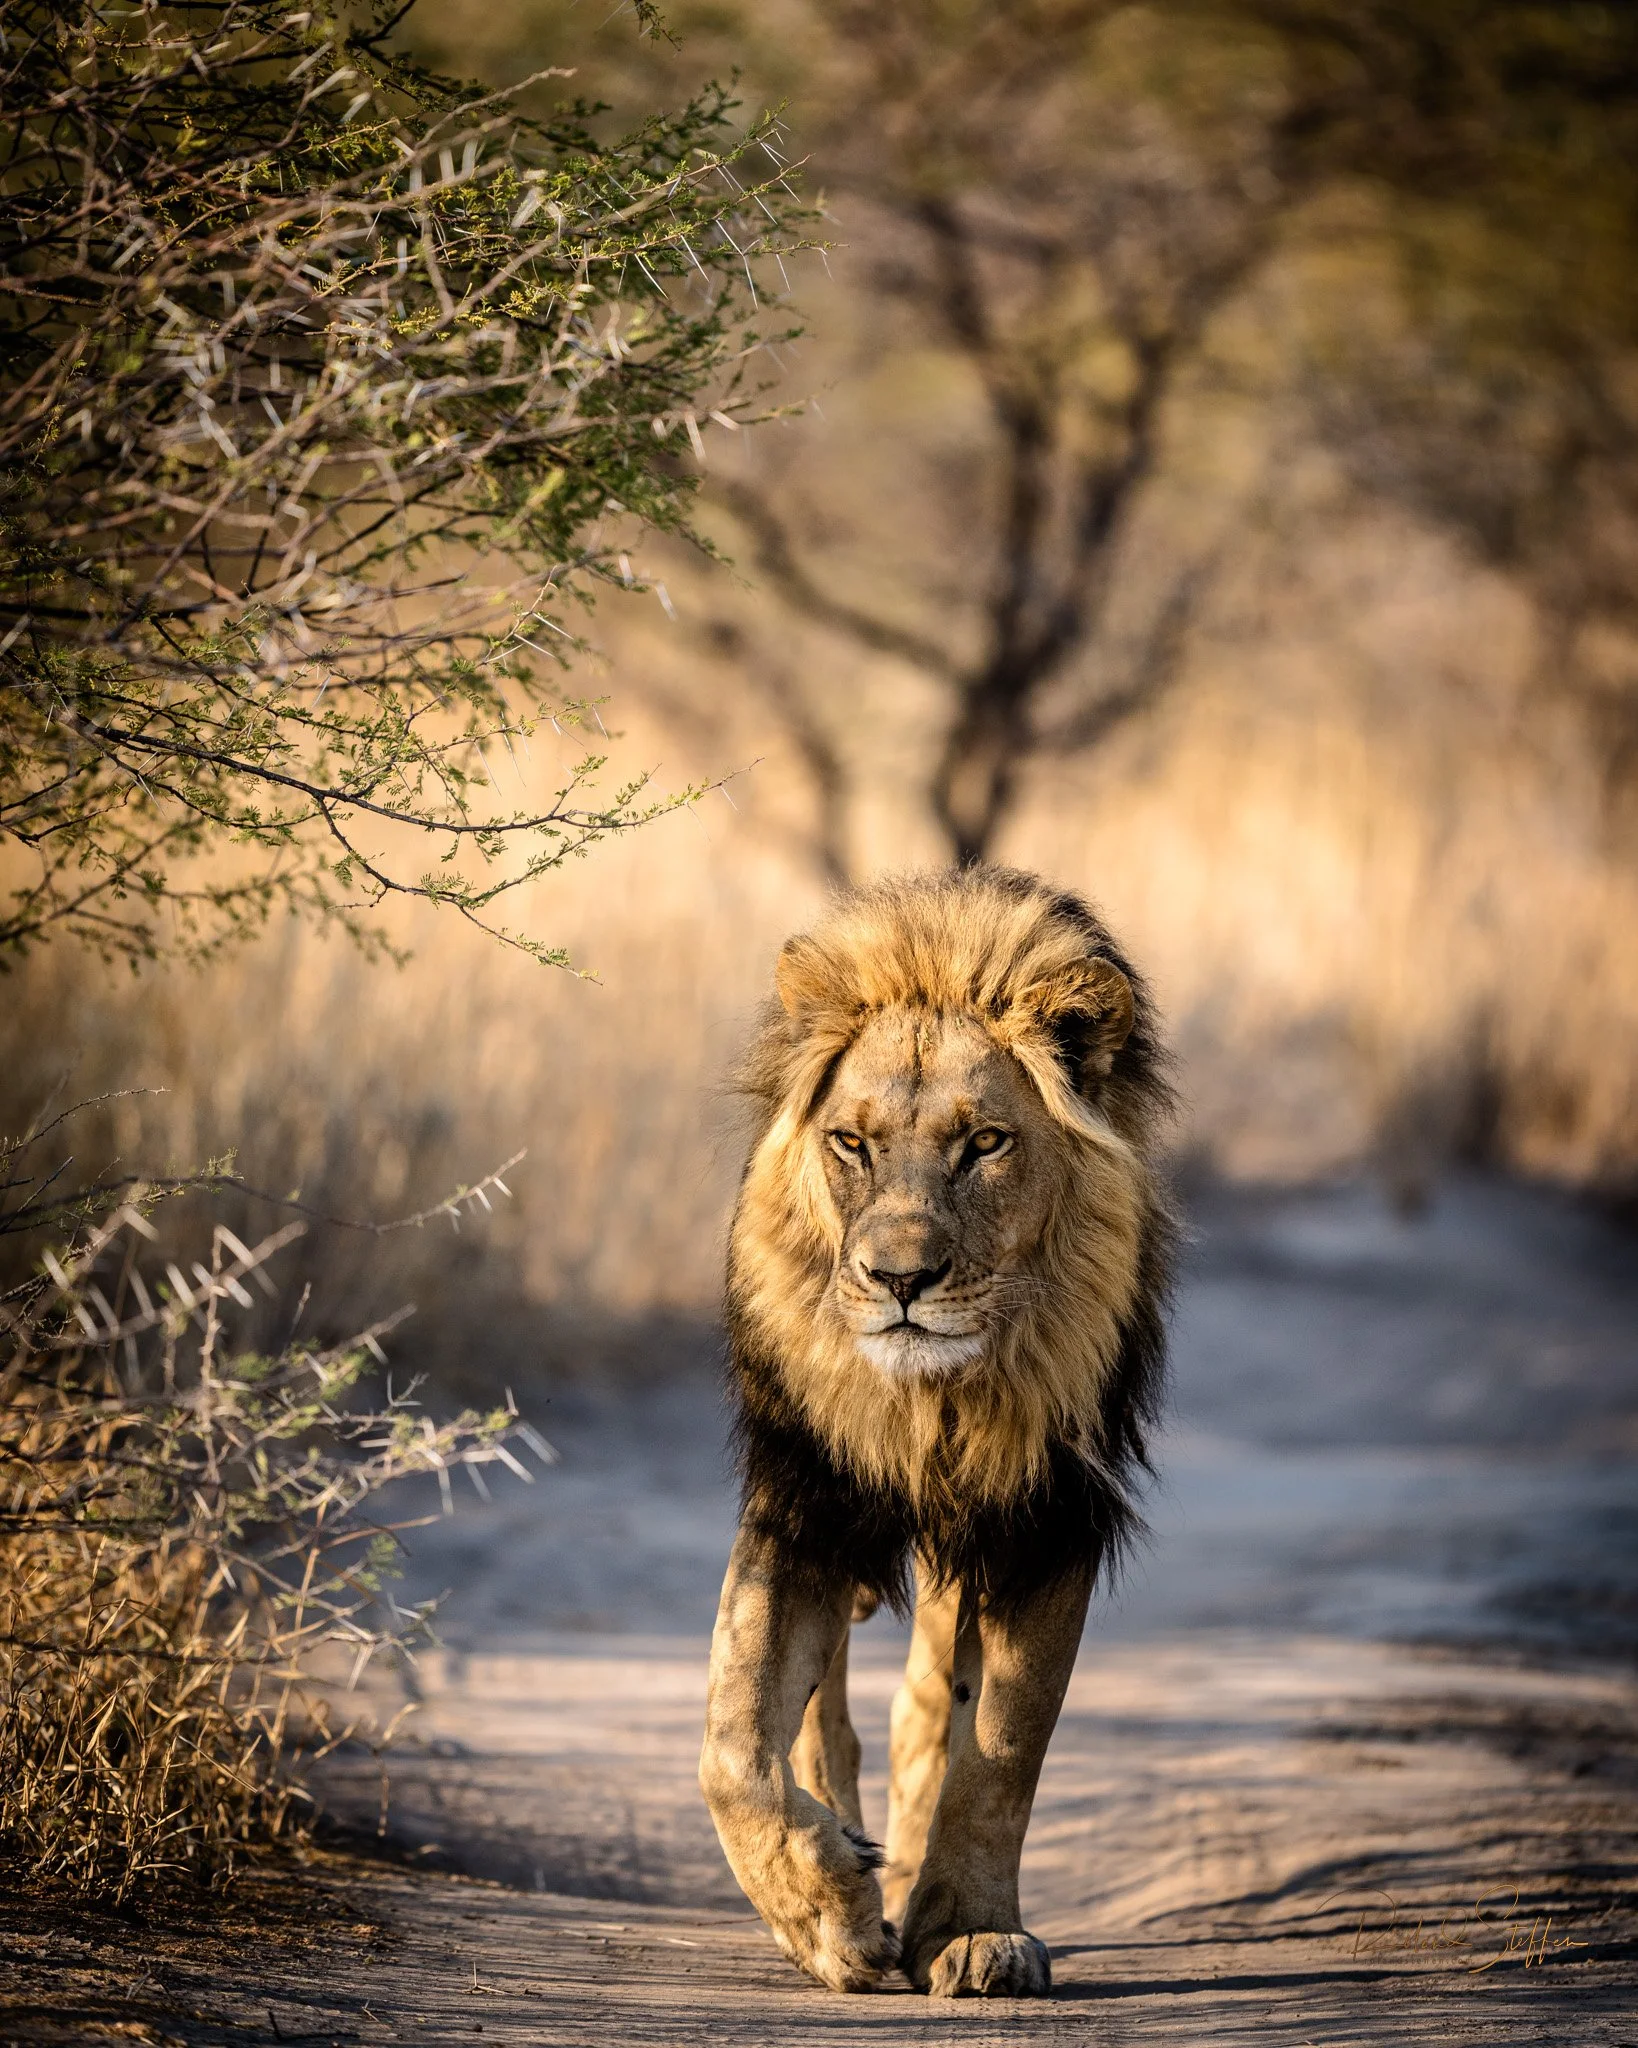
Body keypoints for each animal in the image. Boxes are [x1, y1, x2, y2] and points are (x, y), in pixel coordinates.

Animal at [699, 866, 1175, 1998]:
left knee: (928, 1705)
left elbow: (999, 1748)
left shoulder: (1050, 1515)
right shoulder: (806, 1495)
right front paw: (826, 1912)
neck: (935, 1400)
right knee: (821, 1717)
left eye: (984, 1143)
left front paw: (969, 1929)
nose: (900, 1279)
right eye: (853, 1143)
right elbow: (732, 1742)